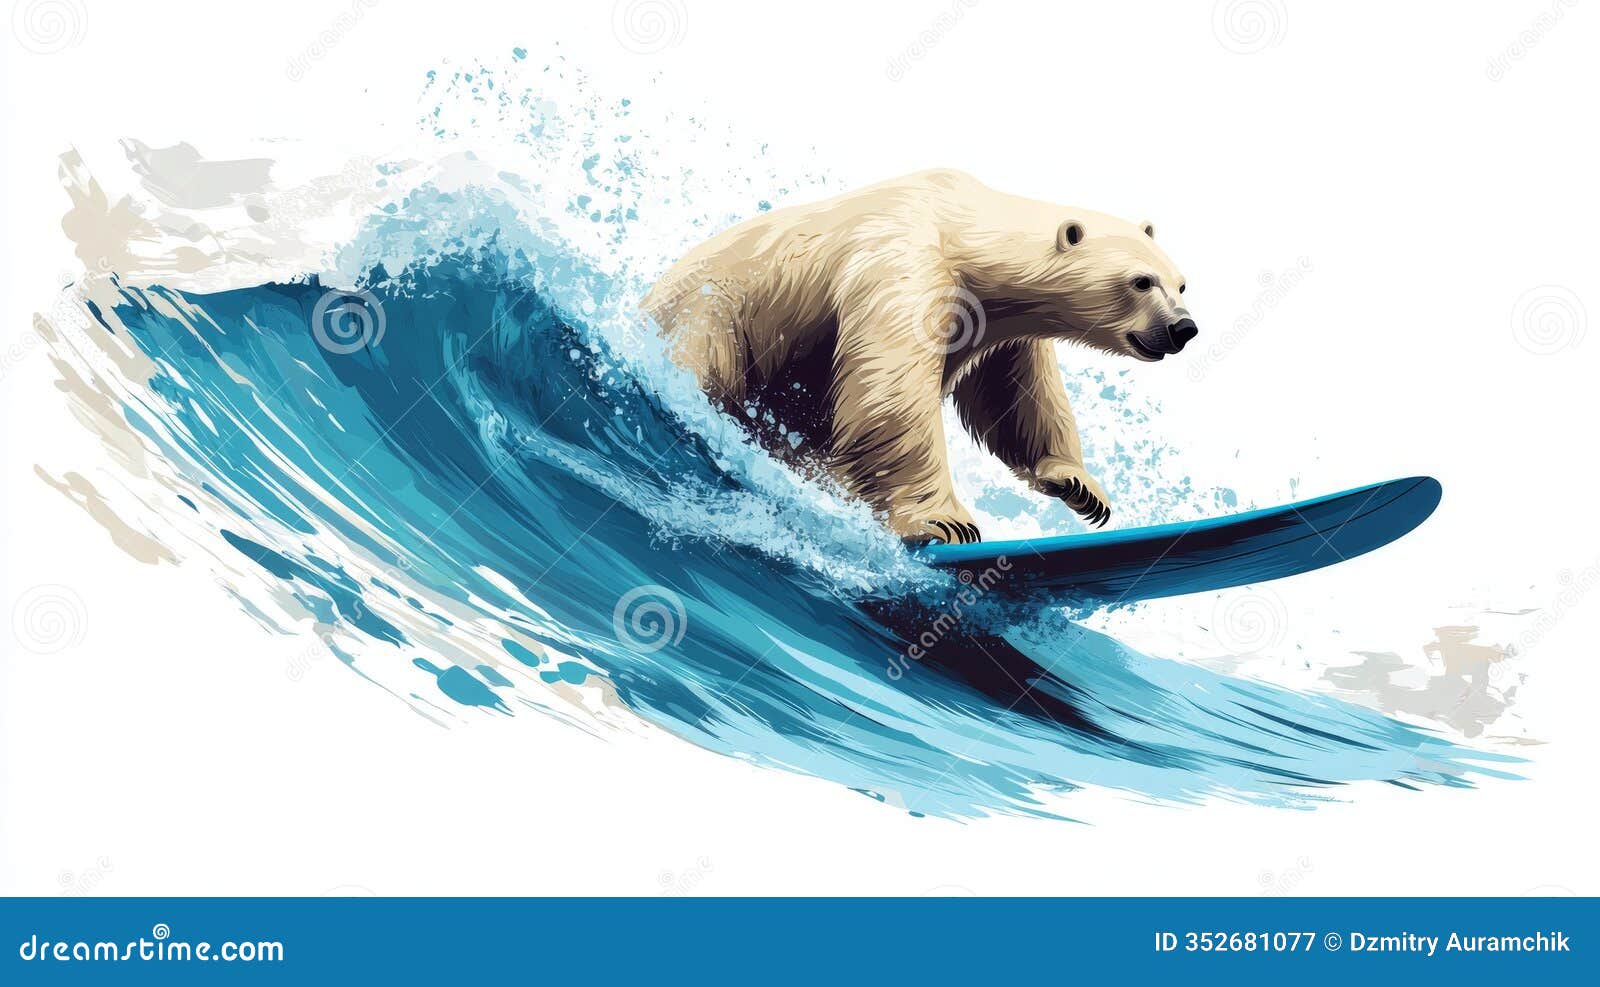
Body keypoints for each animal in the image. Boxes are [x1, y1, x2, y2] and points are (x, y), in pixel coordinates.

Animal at [642, 169, 1198, 545]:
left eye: (1181, 283)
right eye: (1140, 282)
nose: (1183, 329)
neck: (960, 226)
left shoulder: (1002, 327)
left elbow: (1018, 395)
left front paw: (1080, 486)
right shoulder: (902, 267)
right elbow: (892, 392)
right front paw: (944, 519)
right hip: (714, 318)